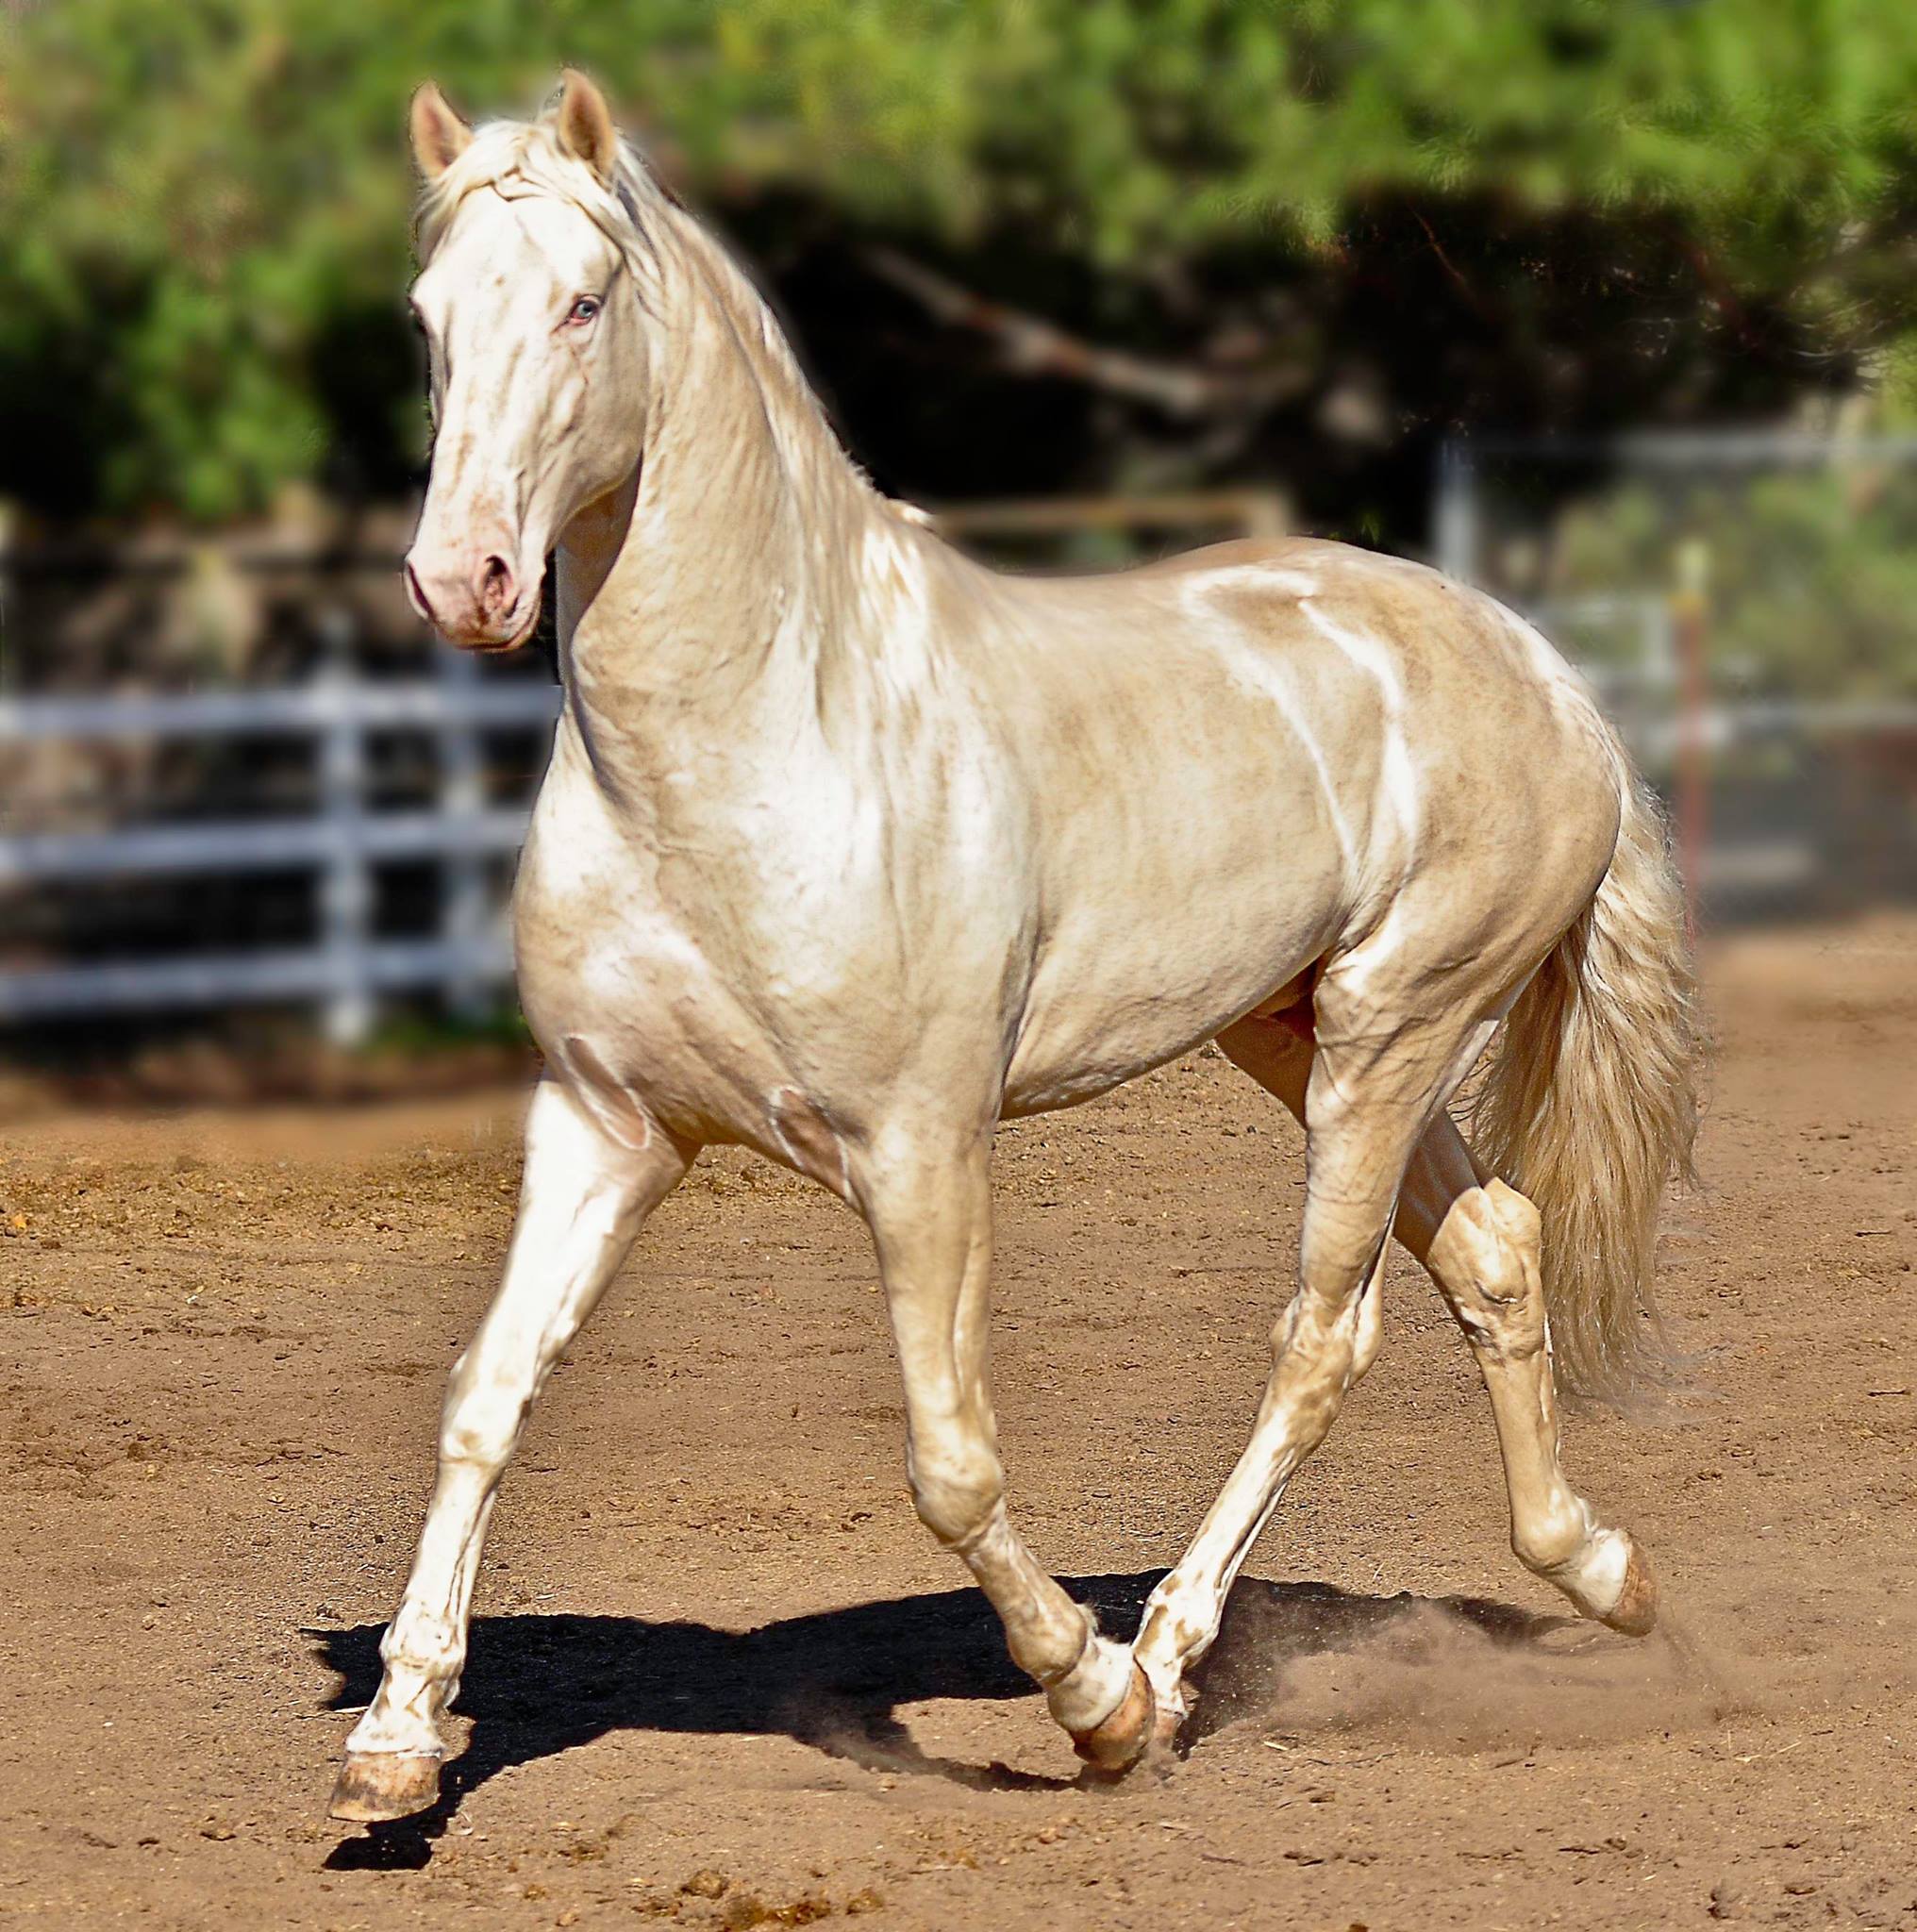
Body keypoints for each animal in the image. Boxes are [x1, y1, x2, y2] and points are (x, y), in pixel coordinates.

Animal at [329, 71, 1700, 1823]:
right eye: (429, 316)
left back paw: (1171, 1657)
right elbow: (484, 1400)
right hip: (1291, 1028)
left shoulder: (920, 1148)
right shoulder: (606, 1128)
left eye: (583, 302)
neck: (749, 748)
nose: (462, 580)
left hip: (1389, 1039)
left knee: (1324, 1337)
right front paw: (393, 1742)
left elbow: (950, 1459)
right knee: (1496, 1250)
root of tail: (1540, 668)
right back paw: (1599, 1569)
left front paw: (1091, 1698)